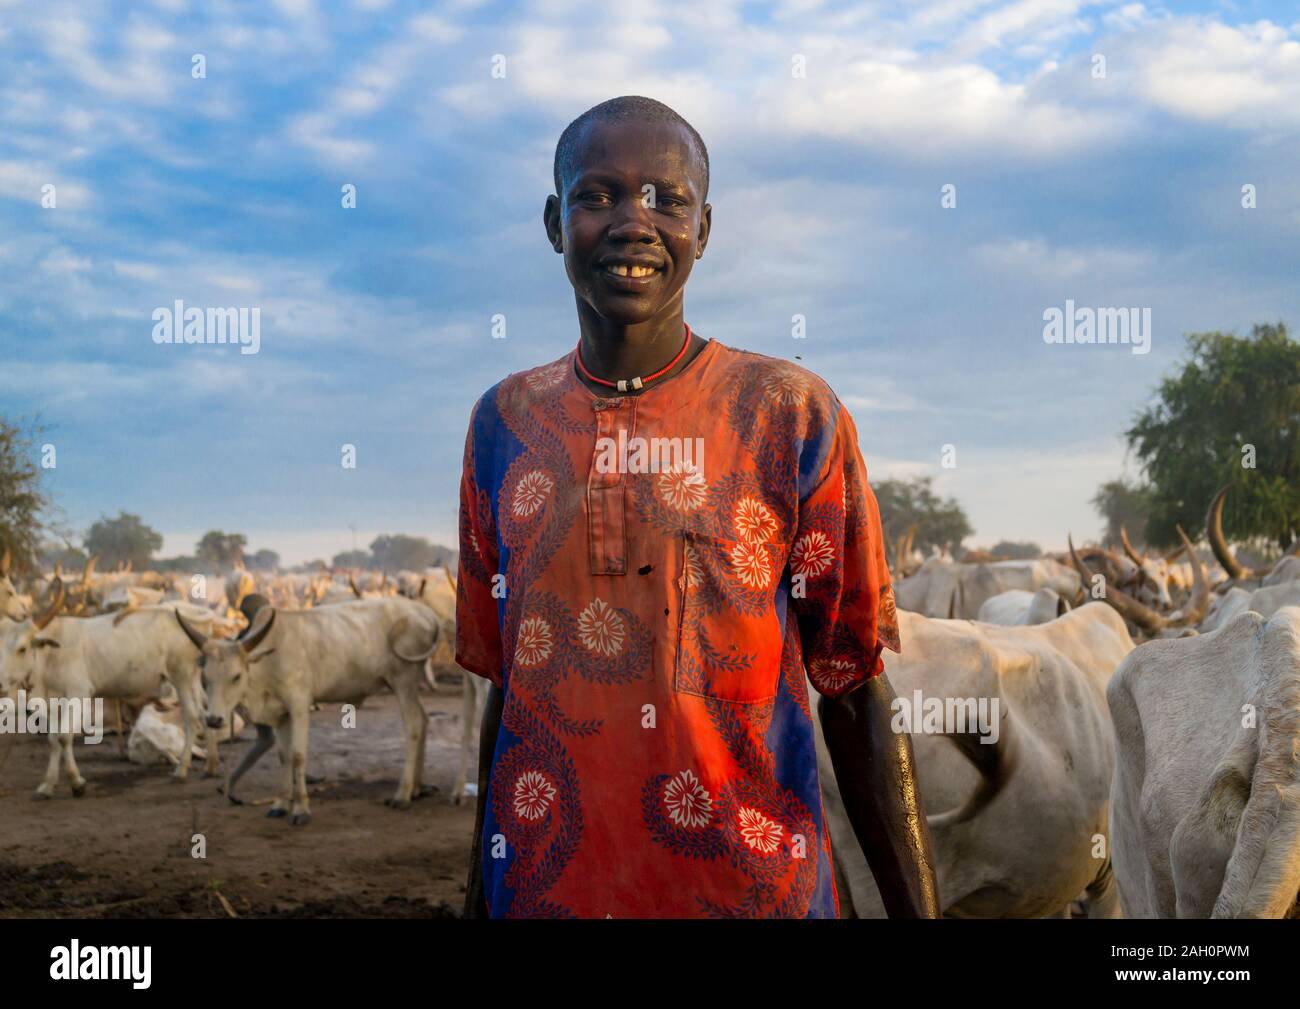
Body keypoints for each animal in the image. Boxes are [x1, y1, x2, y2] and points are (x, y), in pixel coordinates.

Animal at [176, 596, 440, 825]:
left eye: (237, 676)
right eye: (205, 678)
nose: (213, 719)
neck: (269, 661)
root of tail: (426, 613)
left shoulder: (299, 706)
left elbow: (297, 756)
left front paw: (301, 809)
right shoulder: (280, 714)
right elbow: (283, 756)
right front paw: (280, 805)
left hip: (404, 680)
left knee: (414, 725)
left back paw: (402, 794)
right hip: (409, 683)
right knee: (424, 719)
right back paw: (417, 789)